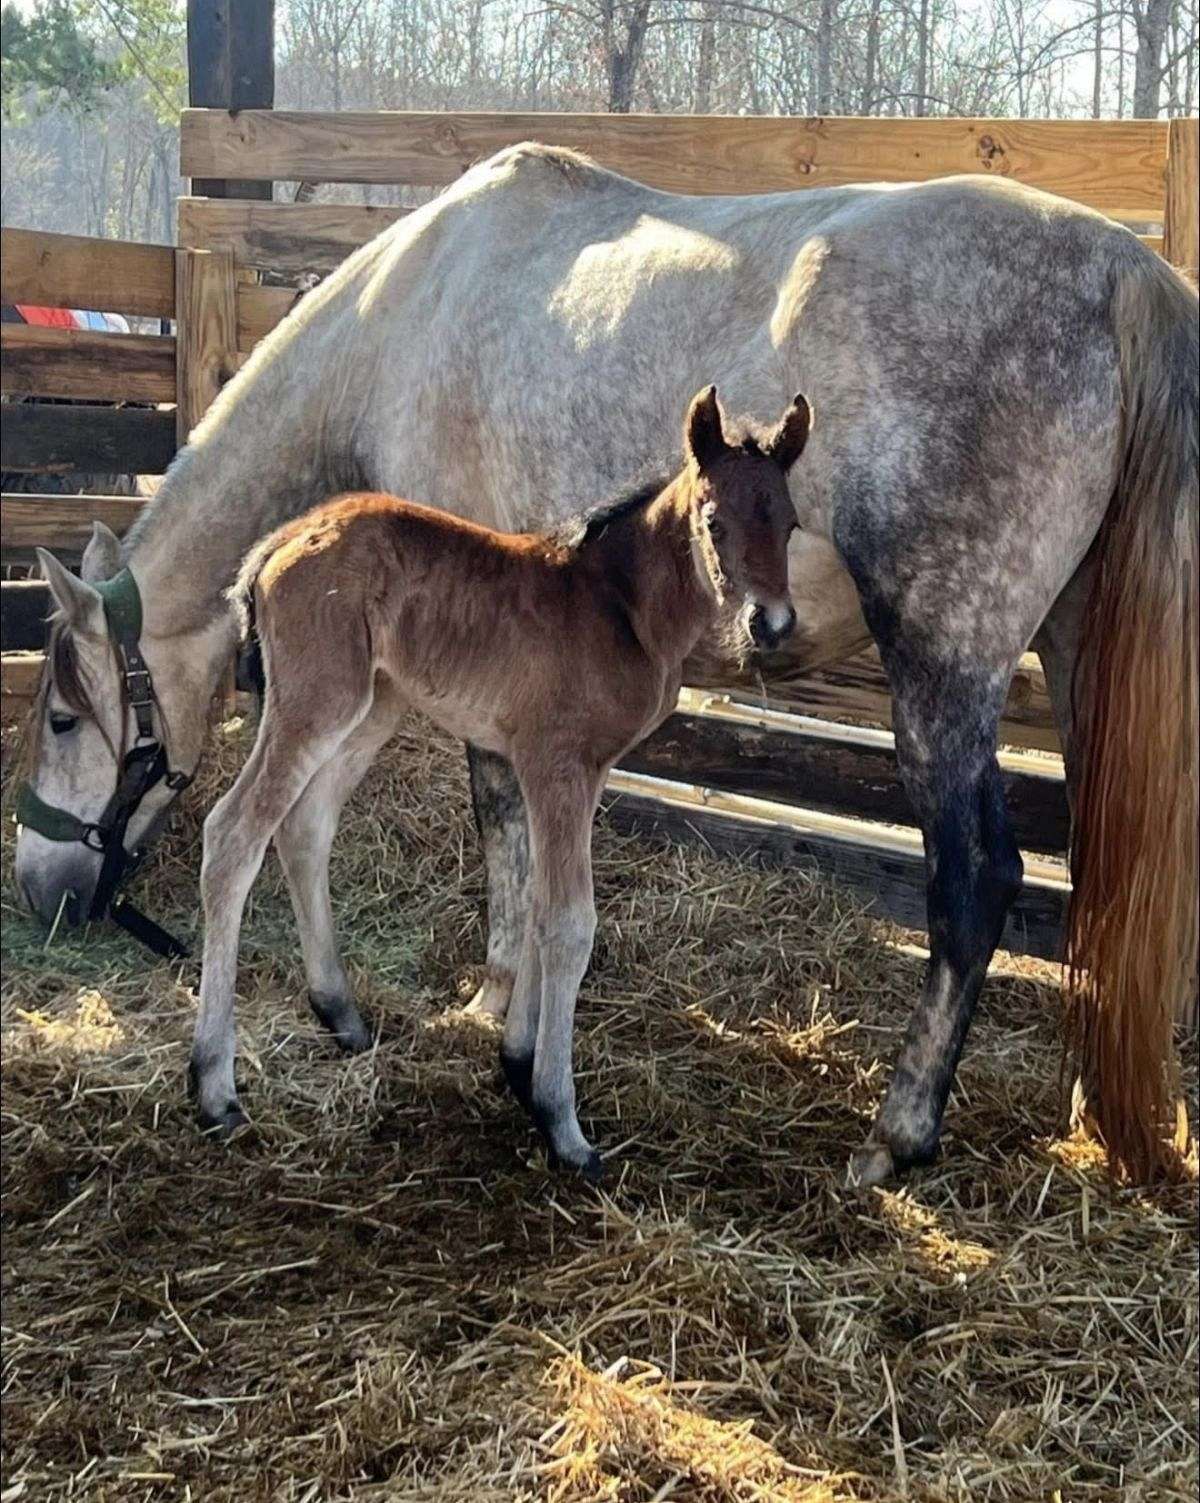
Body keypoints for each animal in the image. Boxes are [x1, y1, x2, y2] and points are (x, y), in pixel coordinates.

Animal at [178, 387, 809, 1177]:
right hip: (315, 702)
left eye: (790, 523)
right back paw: (215, 1088)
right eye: (714, 521)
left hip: (373, 705)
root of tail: (281, 541)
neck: (619, 606)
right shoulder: (554, 762)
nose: (772, 623)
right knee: (233, 835)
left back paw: (342, 1015)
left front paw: (516, 1060)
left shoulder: (584, 771)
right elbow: (569, 920)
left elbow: (537, 899)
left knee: (306, 826)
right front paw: (561, 1120)